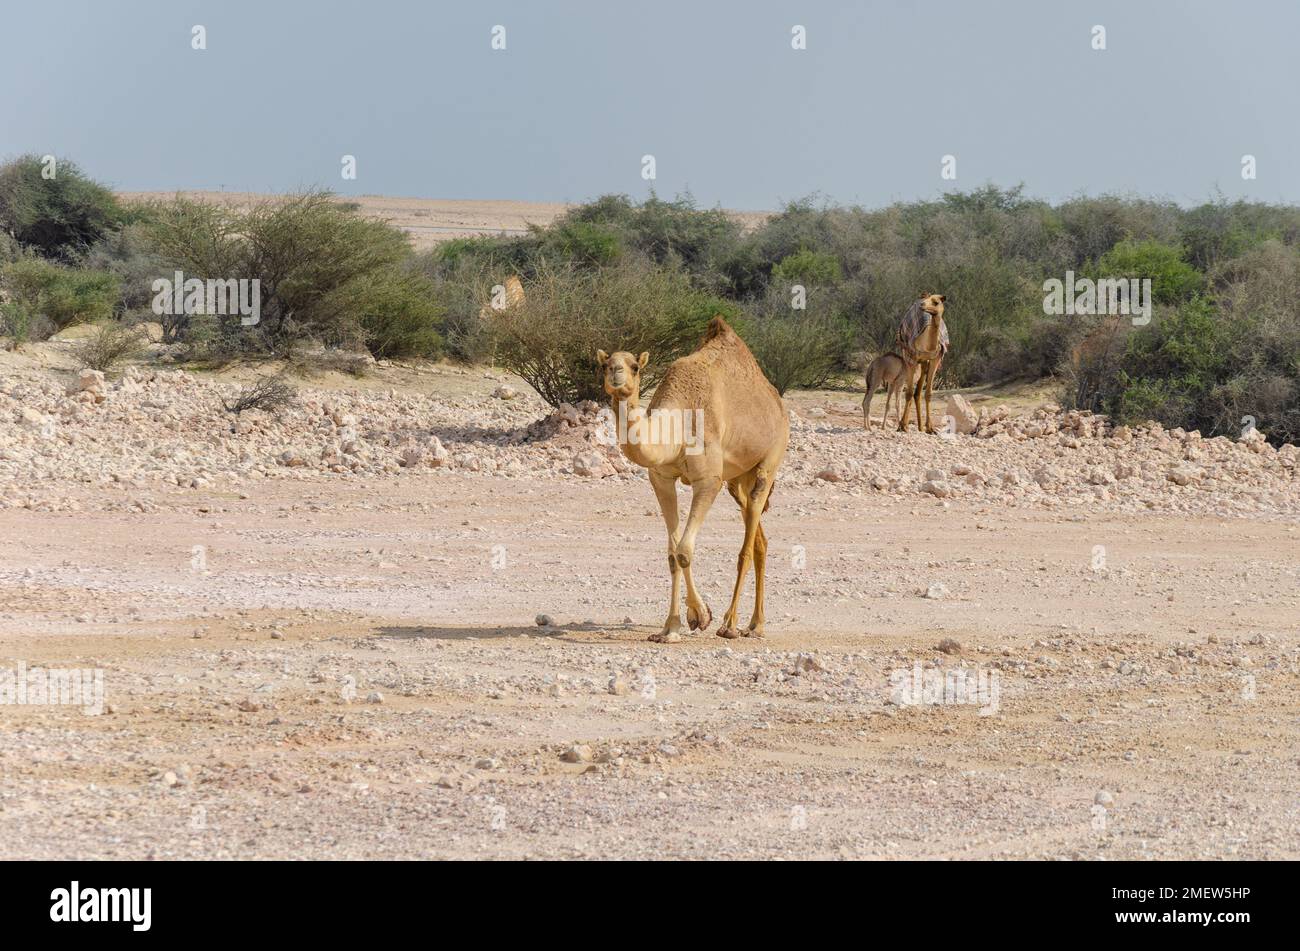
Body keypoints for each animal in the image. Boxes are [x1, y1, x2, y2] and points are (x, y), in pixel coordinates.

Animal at [596, 316, 788, 643]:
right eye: (605, 363)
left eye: (635, 366)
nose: (616, 374)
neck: (677, 423)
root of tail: (777, 401)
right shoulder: (661, 478)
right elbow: (673, 554)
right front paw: (670, 628)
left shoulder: (708, 479)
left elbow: (685, 550)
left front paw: (702, 616)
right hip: (737, 479)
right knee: (759, 539)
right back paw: (755, 624)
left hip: (770, 461)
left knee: (747, 545)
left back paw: (732, 625)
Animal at [896, 293, 948, 434]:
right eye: (926, 300)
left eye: (936, 302)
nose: (922, 305)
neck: (928, 346)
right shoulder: (912, 358)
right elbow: (908, 392)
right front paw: (903, 426)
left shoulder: (935, 359)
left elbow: (928, 393)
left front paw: (930, 428)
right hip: (908, 357)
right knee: (910, 391)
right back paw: (903, 425)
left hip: (924, 364)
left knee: (917, 393)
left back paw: (920, 427)